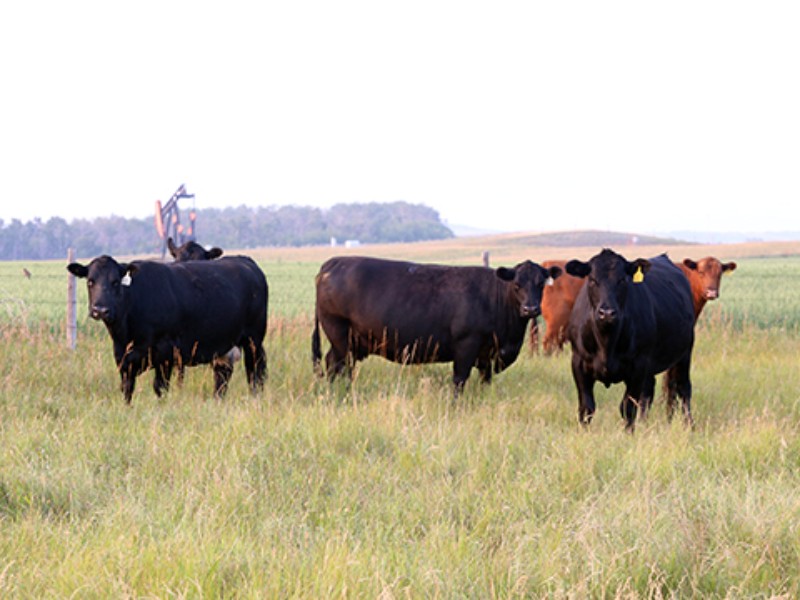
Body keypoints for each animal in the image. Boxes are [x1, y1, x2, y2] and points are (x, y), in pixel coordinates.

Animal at [67, 255, 268, 402]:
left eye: (116, 282)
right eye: (90, 281)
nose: (100, 310)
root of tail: (244, 260)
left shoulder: (165, 353)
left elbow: (160, 387)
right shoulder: (123, 358)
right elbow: (127, 389)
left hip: (253, 339)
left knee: (255, 372)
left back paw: (255, 398)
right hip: (224, 346)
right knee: (222, 375)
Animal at [311, 256, 562, 393]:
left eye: (541, 284)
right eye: (517, 285)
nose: (531, 309)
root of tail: (333, 263)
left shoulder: (486, 354)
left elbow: (485, 380)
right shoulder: (466, 344)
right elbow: (459, 379)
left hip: (350, 342)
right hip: (339, 334)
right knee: (337, 366)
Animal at [565, 249, 695, 430]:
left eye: (622, 280)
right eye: (592, 280)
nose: (607, 313)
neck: (606, 342)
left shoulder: (638, 366)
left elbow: (628, 407)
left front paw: (629, 433)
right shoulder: (578, 363)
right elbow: (586, 407)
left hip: (684, 354)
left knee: (682, 388)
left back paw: (688, 426)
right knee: (650, 392)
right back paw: (645, 423)